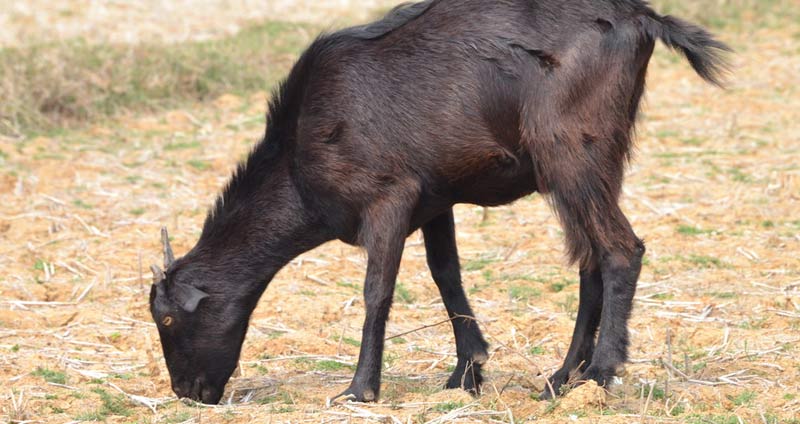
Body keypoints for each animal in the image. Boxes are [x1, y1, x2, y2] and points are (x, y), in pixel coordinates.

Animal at [148, 0, 729, 404]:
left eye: (169, 321)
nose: (189, 392)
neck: (297, 152)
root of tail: (641, 19)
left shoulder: (388, 197)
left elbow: (377, 290)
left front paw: (360, 389)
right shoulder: (434, 201)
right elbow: (445, 275)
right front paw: (466, 372)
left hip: (570, 151)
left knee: (618, 249)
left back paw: (602, 373)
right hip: (593, 162)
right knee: (589, 258)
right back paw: (563, 376)